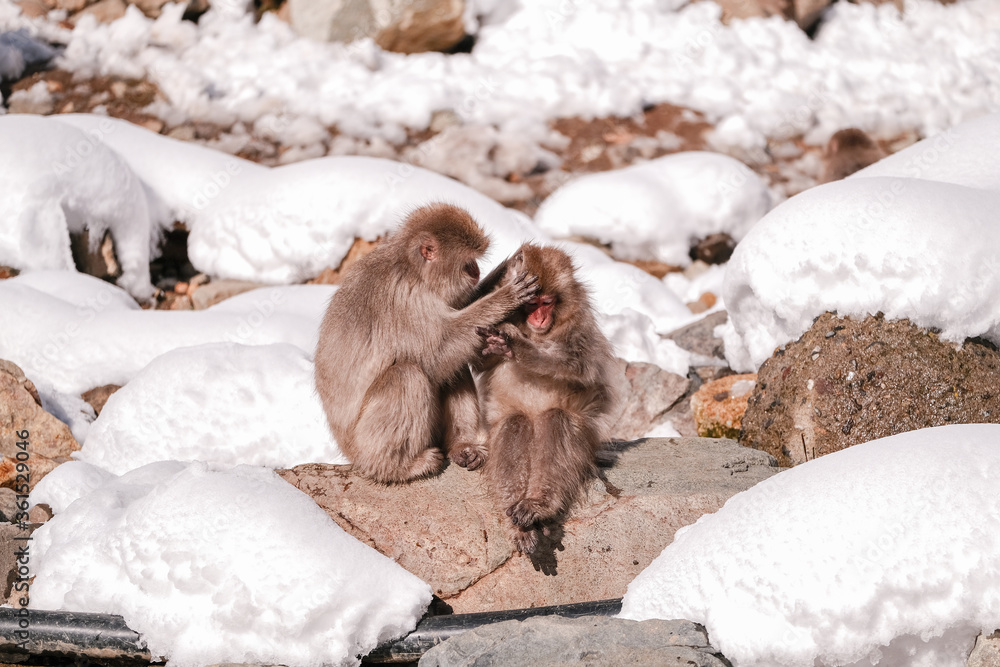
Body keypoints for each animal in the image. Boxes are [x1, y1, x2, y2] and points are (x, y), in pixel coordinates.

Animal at [314, 203, 538, 484]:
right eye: (467, 263)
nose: (476, 271)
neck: (413, 270)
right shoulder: (406, 299)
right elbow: (436, 354)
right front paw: (505, 297)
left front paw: (505, 271)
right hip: (361, 444)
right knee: (408, 375)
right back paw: (398, 467)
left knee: (453, 368)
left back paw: (461, 446)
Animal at [474, 244, 622, 554]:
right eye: (532, 304)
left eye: (547, 302)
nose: (539, 318)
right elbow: (477, 362)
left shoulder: (581, 326)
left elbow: (580, 366)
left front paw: (519, 348)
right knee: (514, 424)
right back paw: (519, 521)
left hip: (586, 438)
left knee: (557, 420)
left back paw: (538, 504)